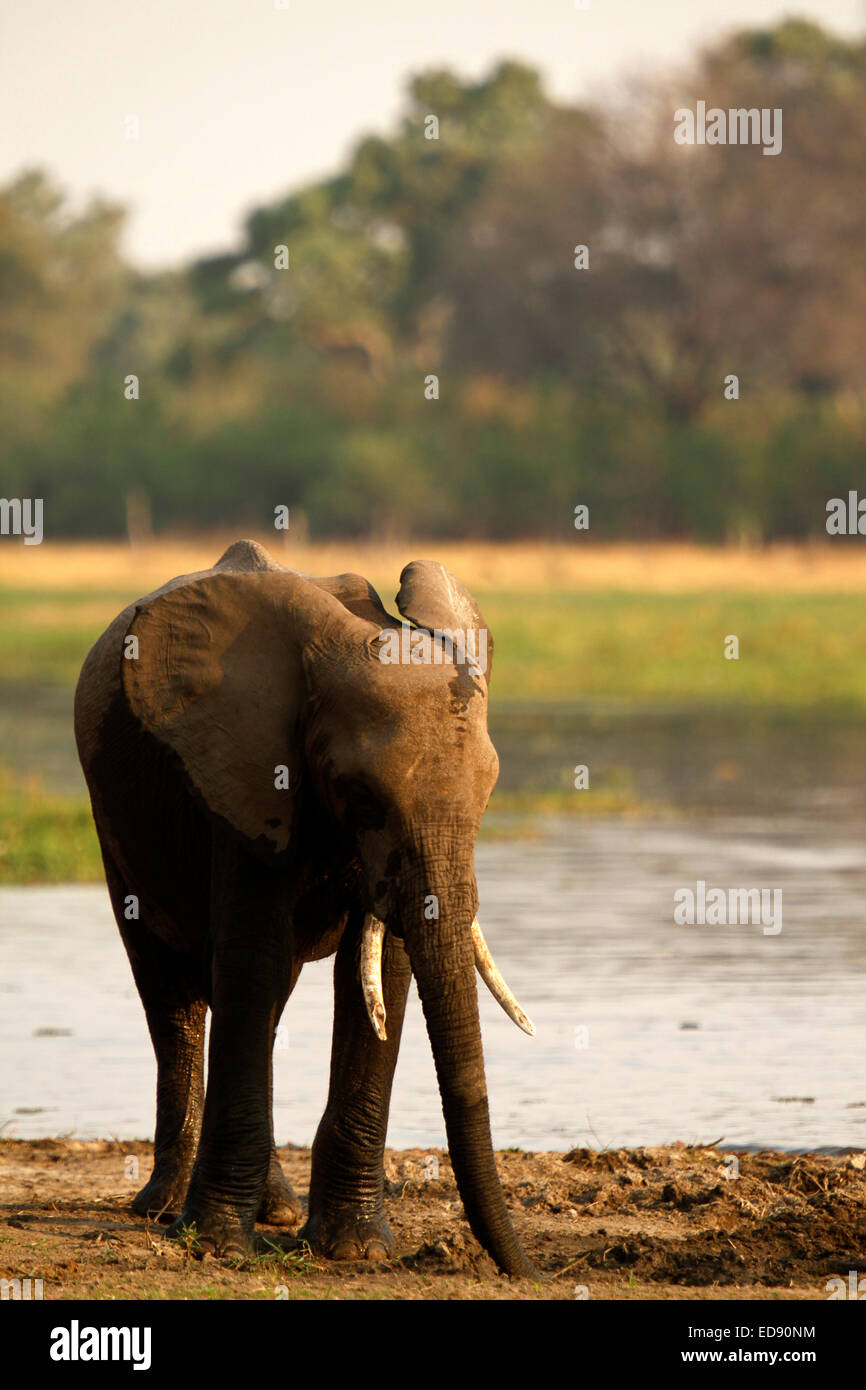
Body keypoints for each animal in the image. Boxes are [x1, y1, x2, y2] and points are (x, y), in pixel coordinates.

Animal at [74, 539, 536, 1277]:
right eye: (360, 794)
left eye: (490, 790)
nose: (524, 1271)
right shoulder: (247, 777)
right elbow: (252, 959)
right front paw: (218, 1247)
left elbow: (378, 974)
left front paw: (358, 1250)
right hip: (113, 821)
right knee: (174, 993)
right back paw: (162, 1208)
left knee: (262, 1004)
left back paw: (277, 1213)